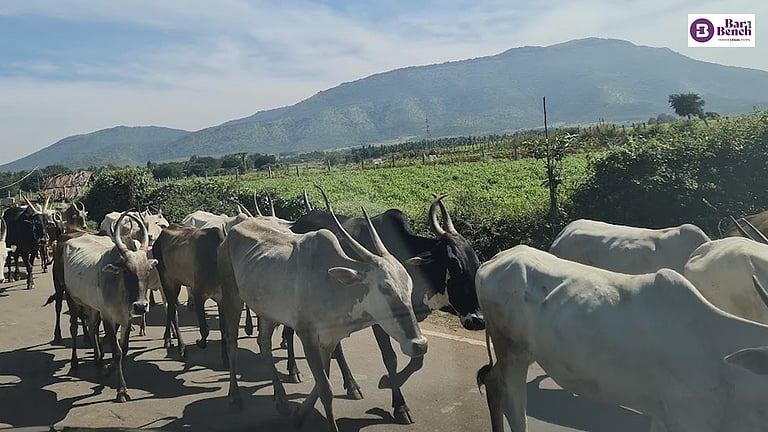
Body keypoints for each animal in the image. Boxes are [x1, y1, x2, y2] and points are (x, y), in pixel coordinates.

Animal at [62, 211, 157, 402]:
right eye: (126, 271)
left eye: (148, 270)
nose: (141, 307)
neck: (122, 294)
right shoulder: (108, 317)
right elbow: (116, 352)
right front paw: (121, 390)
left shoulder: (126, 318)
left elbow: (124, 349)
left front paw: (106, 370)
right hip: (72, 299)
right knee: (74, 327)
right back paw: (75, 362)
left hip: (93, 306)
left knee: (92, 328)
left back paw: (98, 361)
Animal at [217, 188, 427, 432]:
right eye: (385, 287)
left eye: (409, 285)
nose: (420, 345)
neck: (333, 284)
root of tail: (233, 231)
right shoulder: (306, 334)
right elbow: (325, 389)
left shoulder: (329, 339)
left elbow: (322, 381)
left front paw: (299, 415)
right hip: (232, 297)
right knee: (232, 343)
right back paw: (235, 397)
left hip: (267, 310)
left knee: (264, 345)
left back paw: (281, 399)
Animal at [289, 193, 483, 423]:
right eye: (454, 264)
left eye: (476, 262)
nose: (478, 320)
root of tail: (296, 224)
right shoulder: (380, 321)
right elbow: (391, 358)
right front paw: (400, 405)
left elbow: (418, 358)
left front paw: (387, 382)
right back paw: (294, 370)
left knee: (336, 346)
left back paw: (351, 385)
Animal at [476, 244, 768, 432]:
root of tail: (493, 260)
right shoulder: (688, 418)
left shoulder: (662, 417)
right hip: (512, 351)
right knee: (513, 404)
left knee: (492, 381)